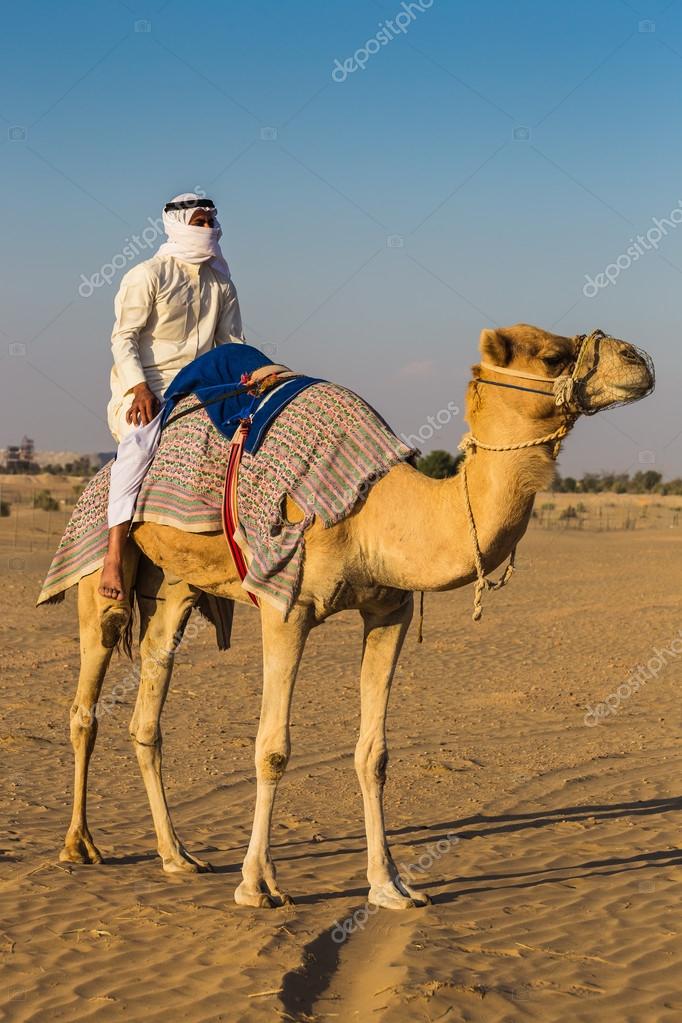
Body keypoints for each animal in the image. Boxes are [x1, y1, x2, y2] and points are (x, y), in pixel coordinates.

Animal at [58, 324, 653, 909]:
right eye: (553, 355)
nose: (639, 360)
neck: (379, 511)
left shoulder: (390, 609)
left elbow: (375, 755)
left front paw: (390, 885)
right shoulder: (286, 607)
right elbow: (272, 749)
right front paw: (258, 885)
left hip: (176, 587)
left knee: (149, 701)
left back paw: (176, 855)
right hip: (100, 575)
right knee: (88, 698)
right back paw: (80, 846)